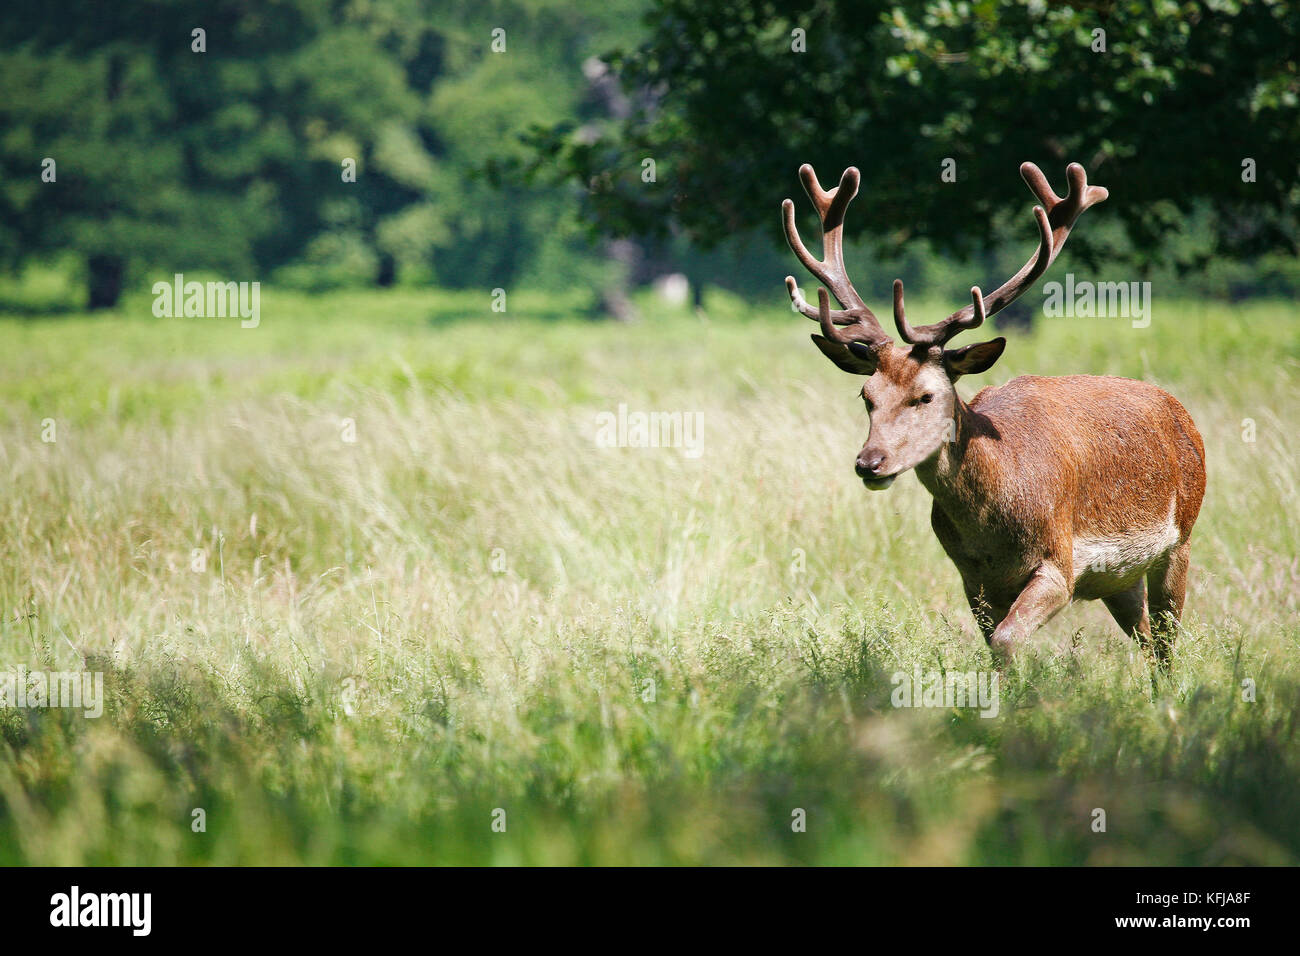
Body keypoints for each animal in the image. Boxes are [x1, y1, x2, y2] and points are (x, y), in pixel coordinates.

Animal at [782, 161, 1205, 667]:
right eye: (866, 395)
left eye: (926, 396)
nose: (870, 462)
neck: (992, 529)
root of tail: (1180, 412)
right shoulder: (973, 581)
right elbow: (994, 642)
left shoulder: (1060, 562)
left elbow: (1006, 641)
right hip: (1118, 576)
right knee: (1145, 637)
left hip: (1180, 538)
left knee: (1165, 642)